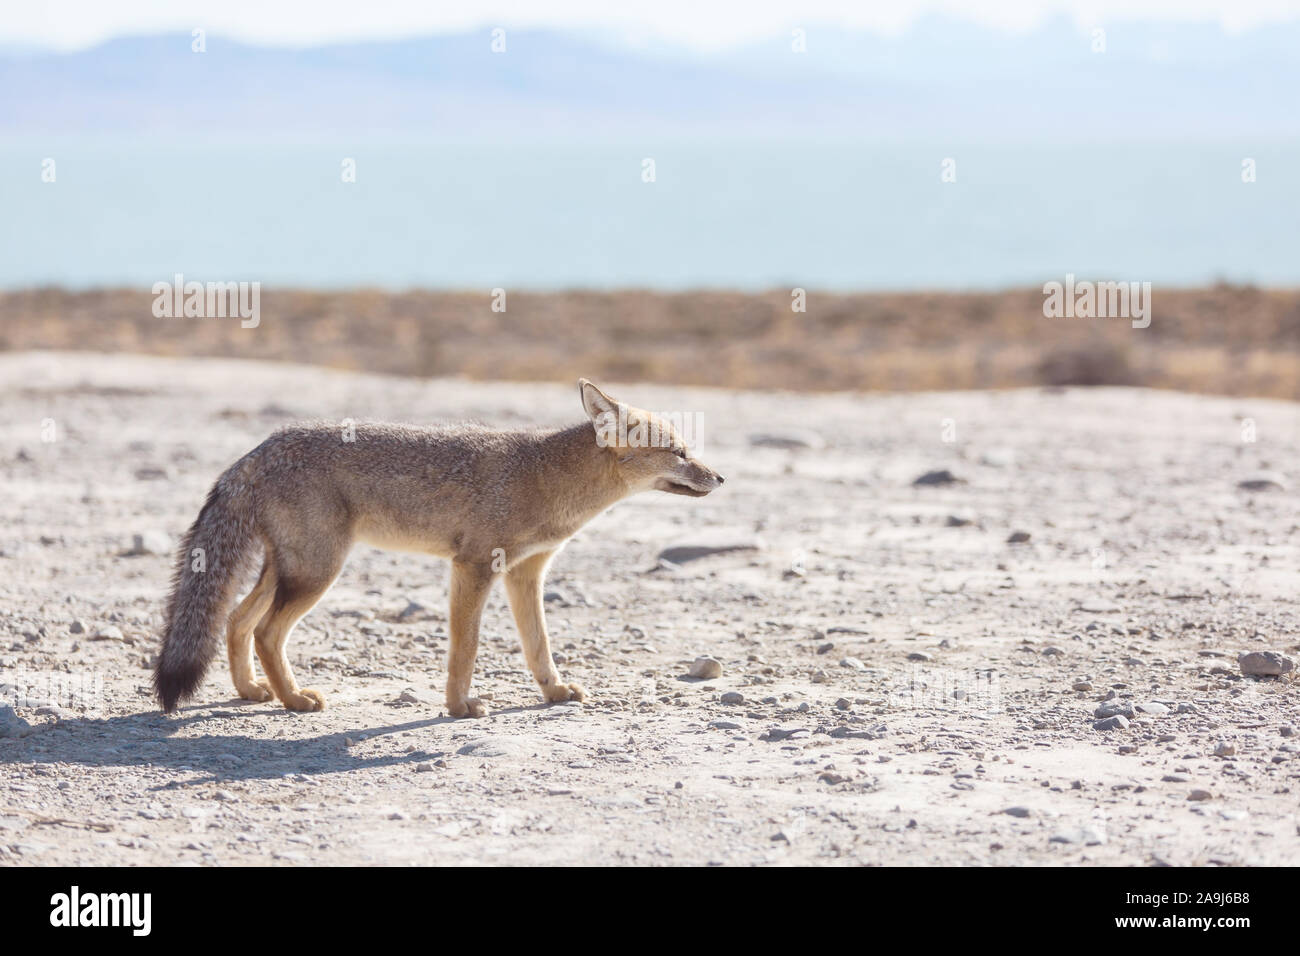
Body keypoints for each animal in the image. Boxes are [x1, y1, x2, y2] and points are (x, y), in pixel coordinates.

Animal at [153, 380, 724, 718]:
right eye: (679, 452)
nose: (719, 477)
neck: (544, 477)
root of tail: (255, 451)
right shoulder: (473, 565)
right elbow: (465, 647)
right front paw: (459, 705)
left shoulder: (526, 573)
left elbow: (538, 645)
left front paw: (554, 692)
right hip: (317, 572)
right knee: (265, 630)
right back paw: (294, 699)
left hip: (289, 570)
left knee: (236, 619)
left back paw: (252, 691)